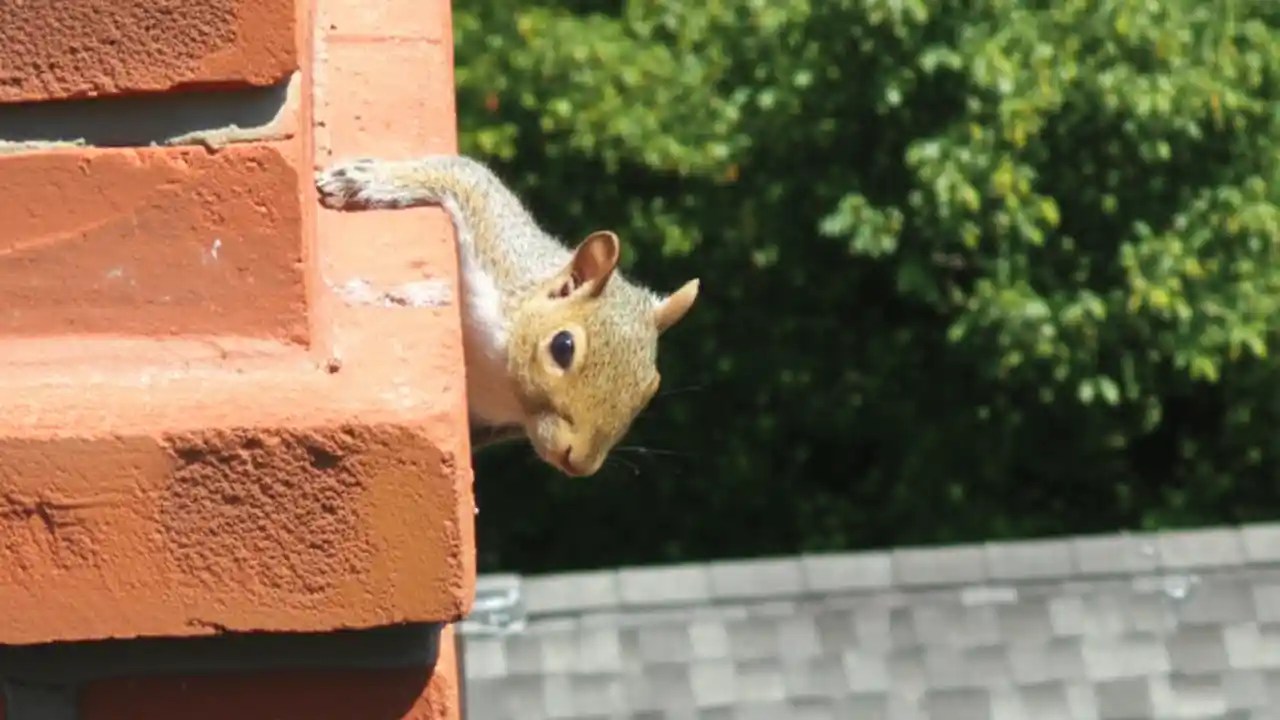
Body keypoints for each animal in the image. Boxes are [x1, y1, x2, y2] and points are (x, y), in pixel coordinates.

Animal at [315, 154, 699, 477]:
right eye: (563, 347)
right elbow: (457, 174)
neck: (503, 377)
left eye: (649, 390)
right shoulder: (494, 239)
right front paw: (371, 179)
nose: (579, 464)